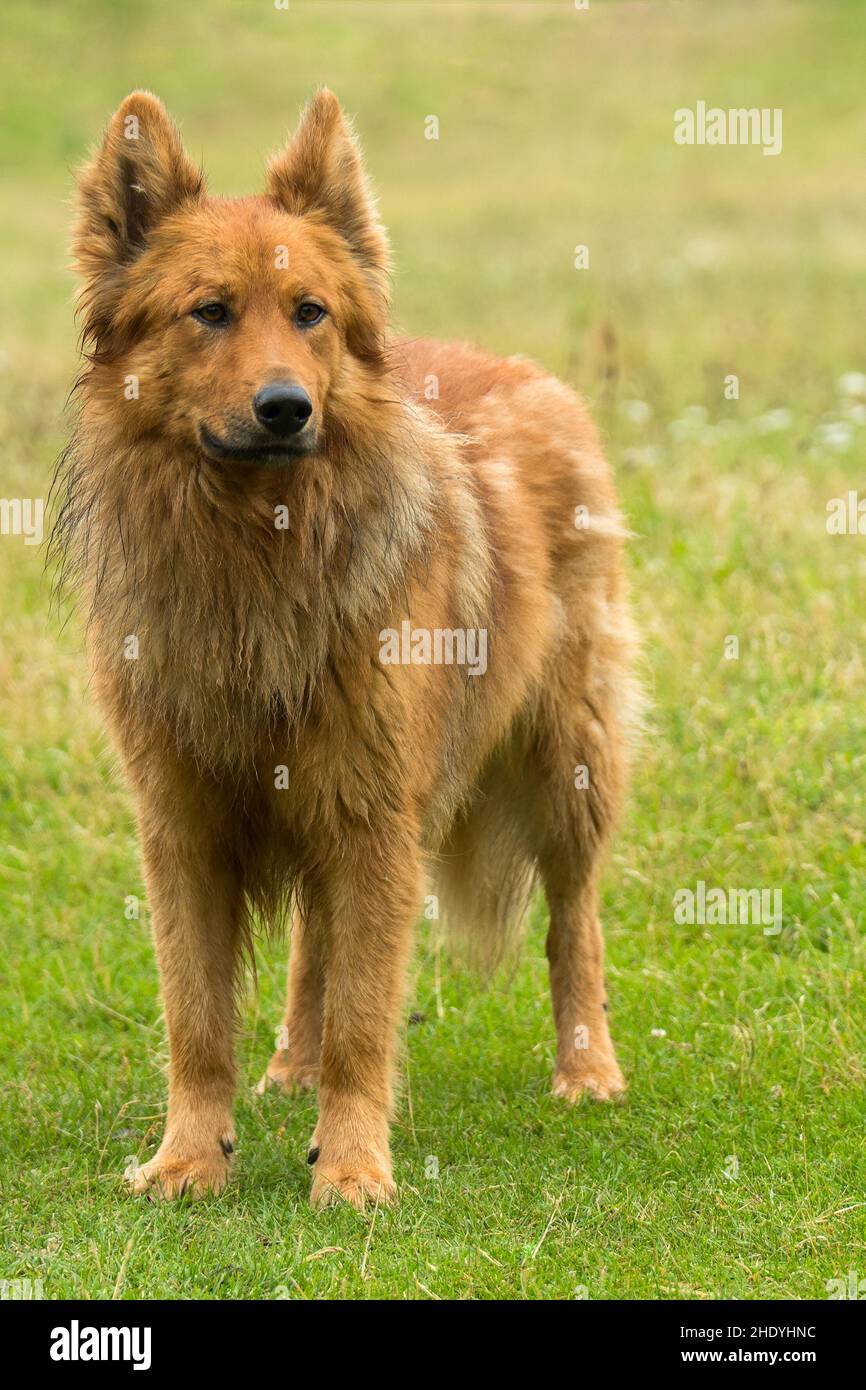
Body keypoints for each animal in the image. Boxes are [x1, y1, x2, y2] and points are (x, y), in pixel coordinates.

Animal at [53, 88, 641, 1207]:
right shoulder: (185, 826)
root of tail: (528, 372)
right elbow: (197, 1020)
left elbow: (369, 1018)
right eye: (211, 311)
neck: (255, 551)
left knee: (572, 920)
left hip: (569, 762)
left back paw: (586, 1068)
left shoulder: (374, 819)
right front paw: (189, 1157)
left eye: (310, 312)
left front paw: (356, 1167)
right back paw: (291, 1063)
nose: (287, 408)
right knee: (312, 948)